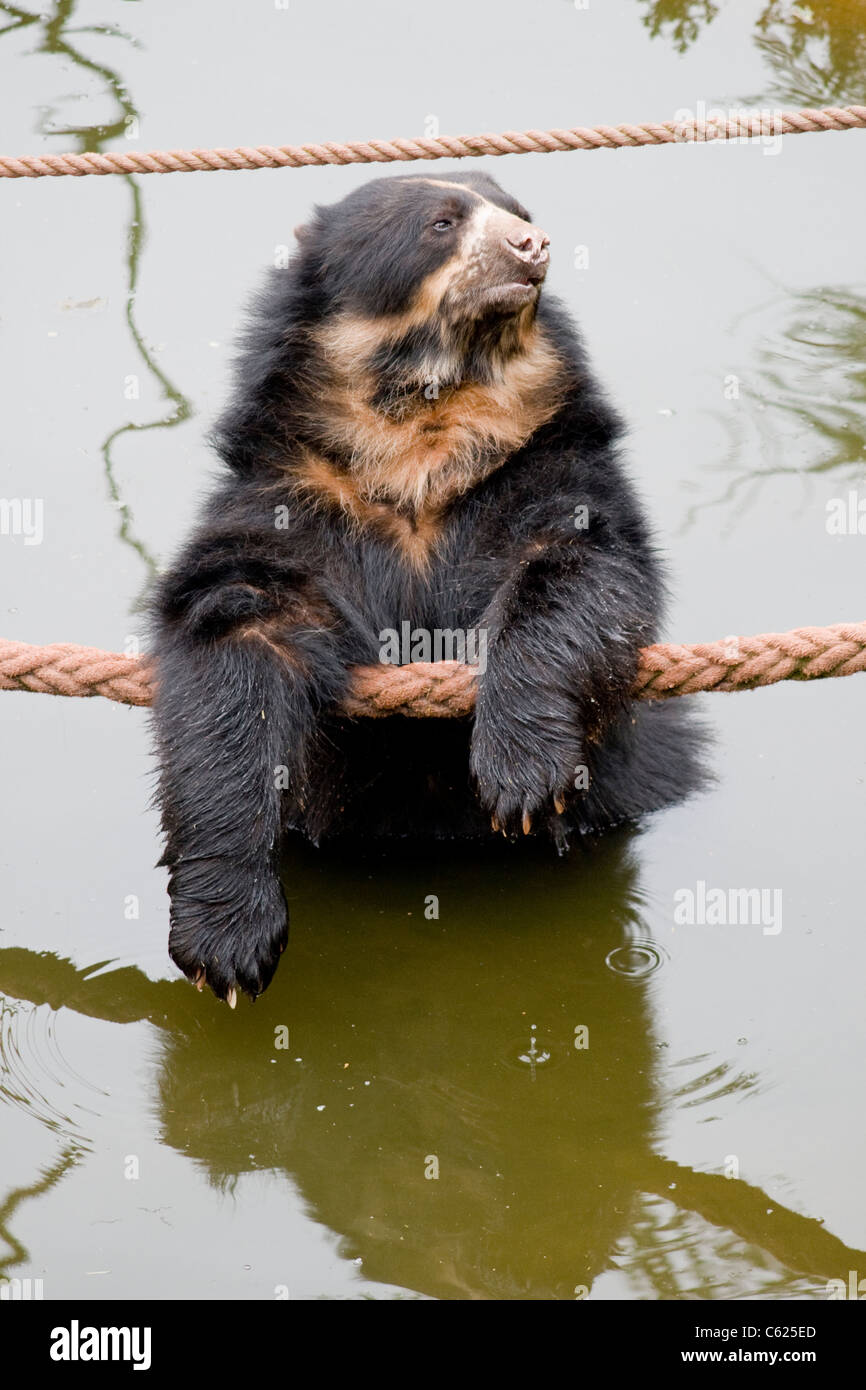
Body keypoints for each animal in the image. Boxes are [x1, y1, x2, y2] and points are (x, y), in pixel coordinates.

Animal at [149, 170, 706, 1005]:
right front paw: (227, 946)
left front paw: (521, 778)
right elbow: (231, 644)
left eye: (519, 212)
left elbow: (579, 572)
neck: (423, 432)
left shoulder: (543, 462)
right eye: (441, 224)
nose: (534, 243)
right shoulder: (290, 496)